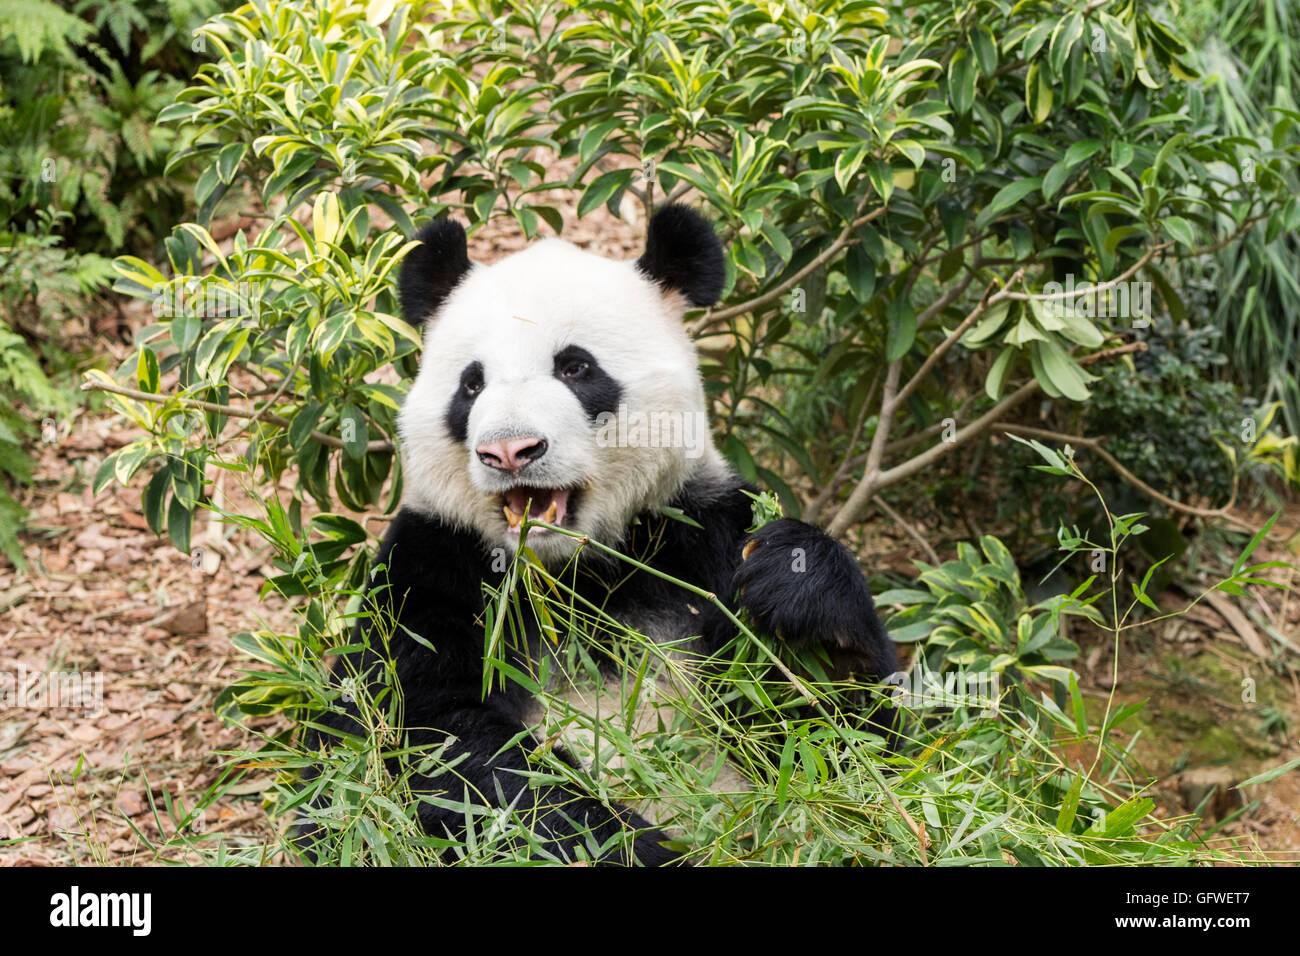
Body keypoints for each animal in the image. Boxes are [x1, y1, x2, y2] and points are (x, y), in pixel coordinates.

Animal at [302, 205, 899, 866]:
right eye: (471, 384)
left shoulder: (700, 537)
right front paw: (638, 843)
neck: (572, 571)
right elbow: (431, 741)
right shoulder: (431, 566)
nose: (509, 451)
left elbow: (837, 748)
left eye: (575, 367)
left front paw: (798, 591)